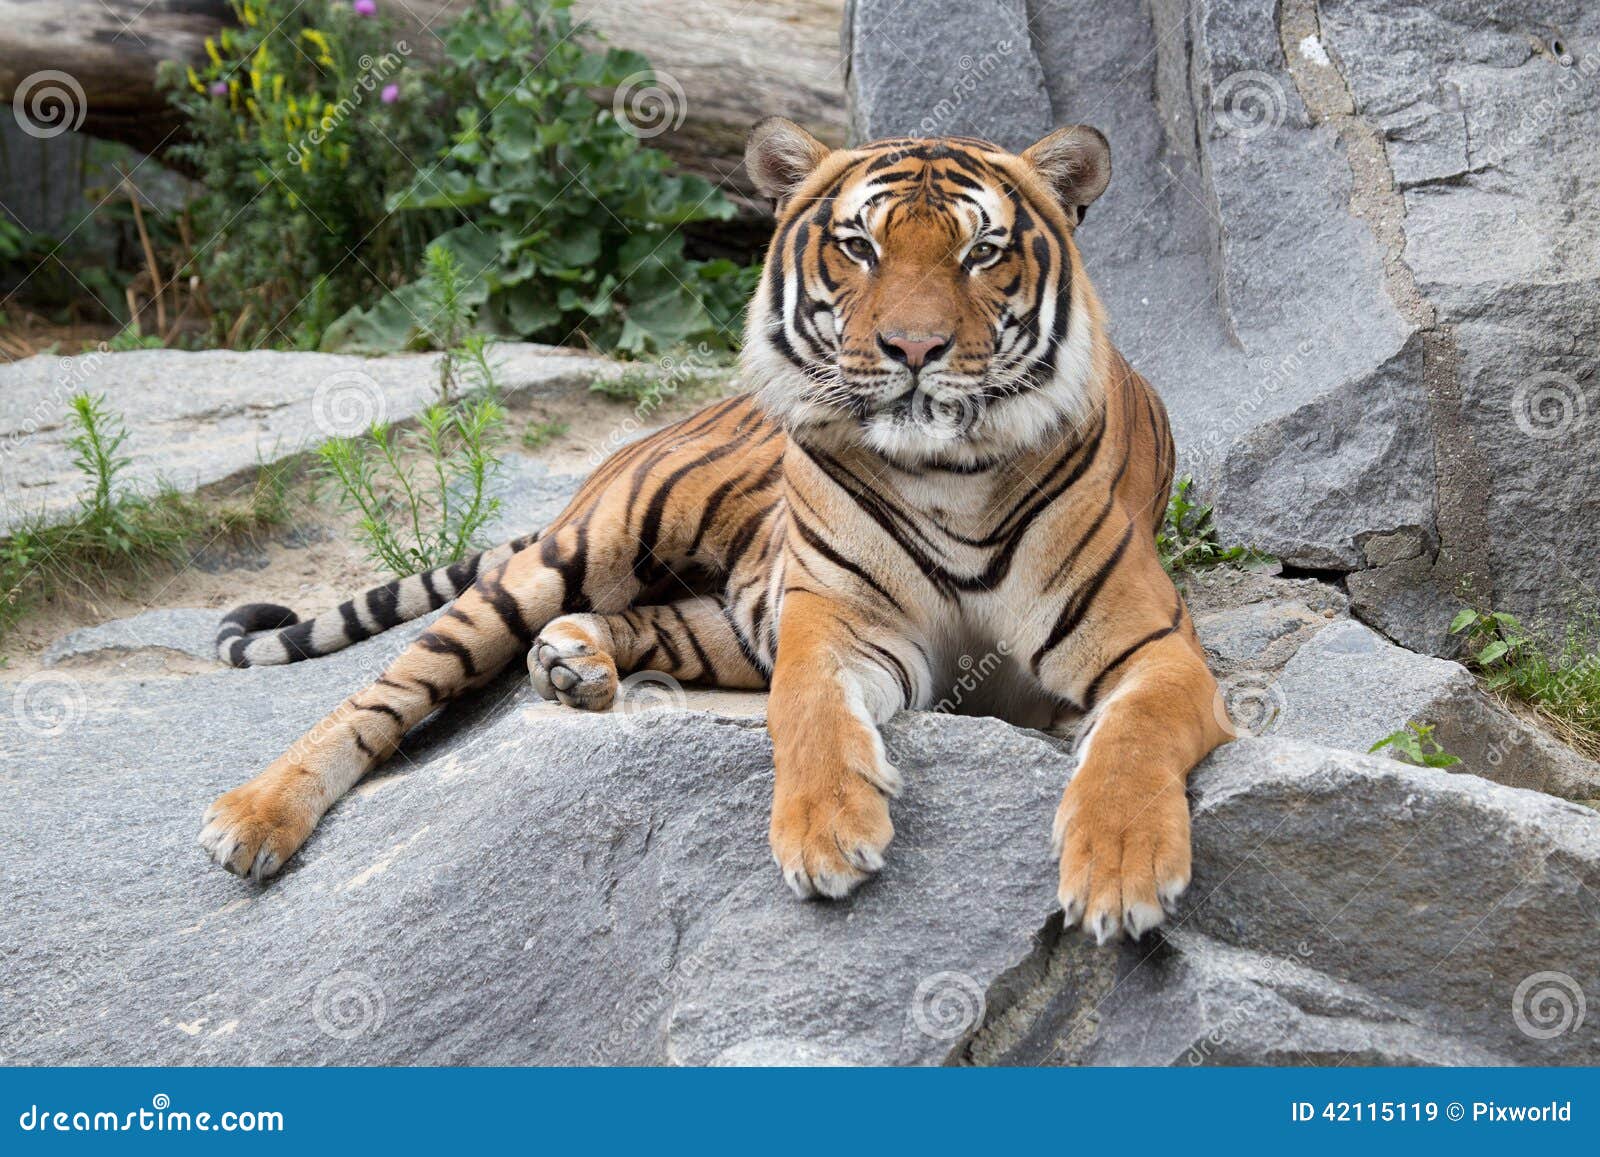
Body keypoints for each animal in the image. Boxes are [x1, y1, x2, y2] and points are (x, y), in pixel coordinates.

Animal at [200, 118, 1230, 944]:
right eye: (858, 246)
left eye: (982, 253)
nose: (913, 348)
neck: (949, 479)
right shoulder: (835, 623)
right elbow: (806, 709)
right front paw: (827, 832)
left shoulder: (1155, 650)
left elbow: (1133, 739)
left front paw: (1122, 870)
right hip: (585, 548)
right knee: (386, 688)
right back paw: (252, 815)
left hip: (724, 620)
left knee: (644, 624)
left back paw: (572, 663)